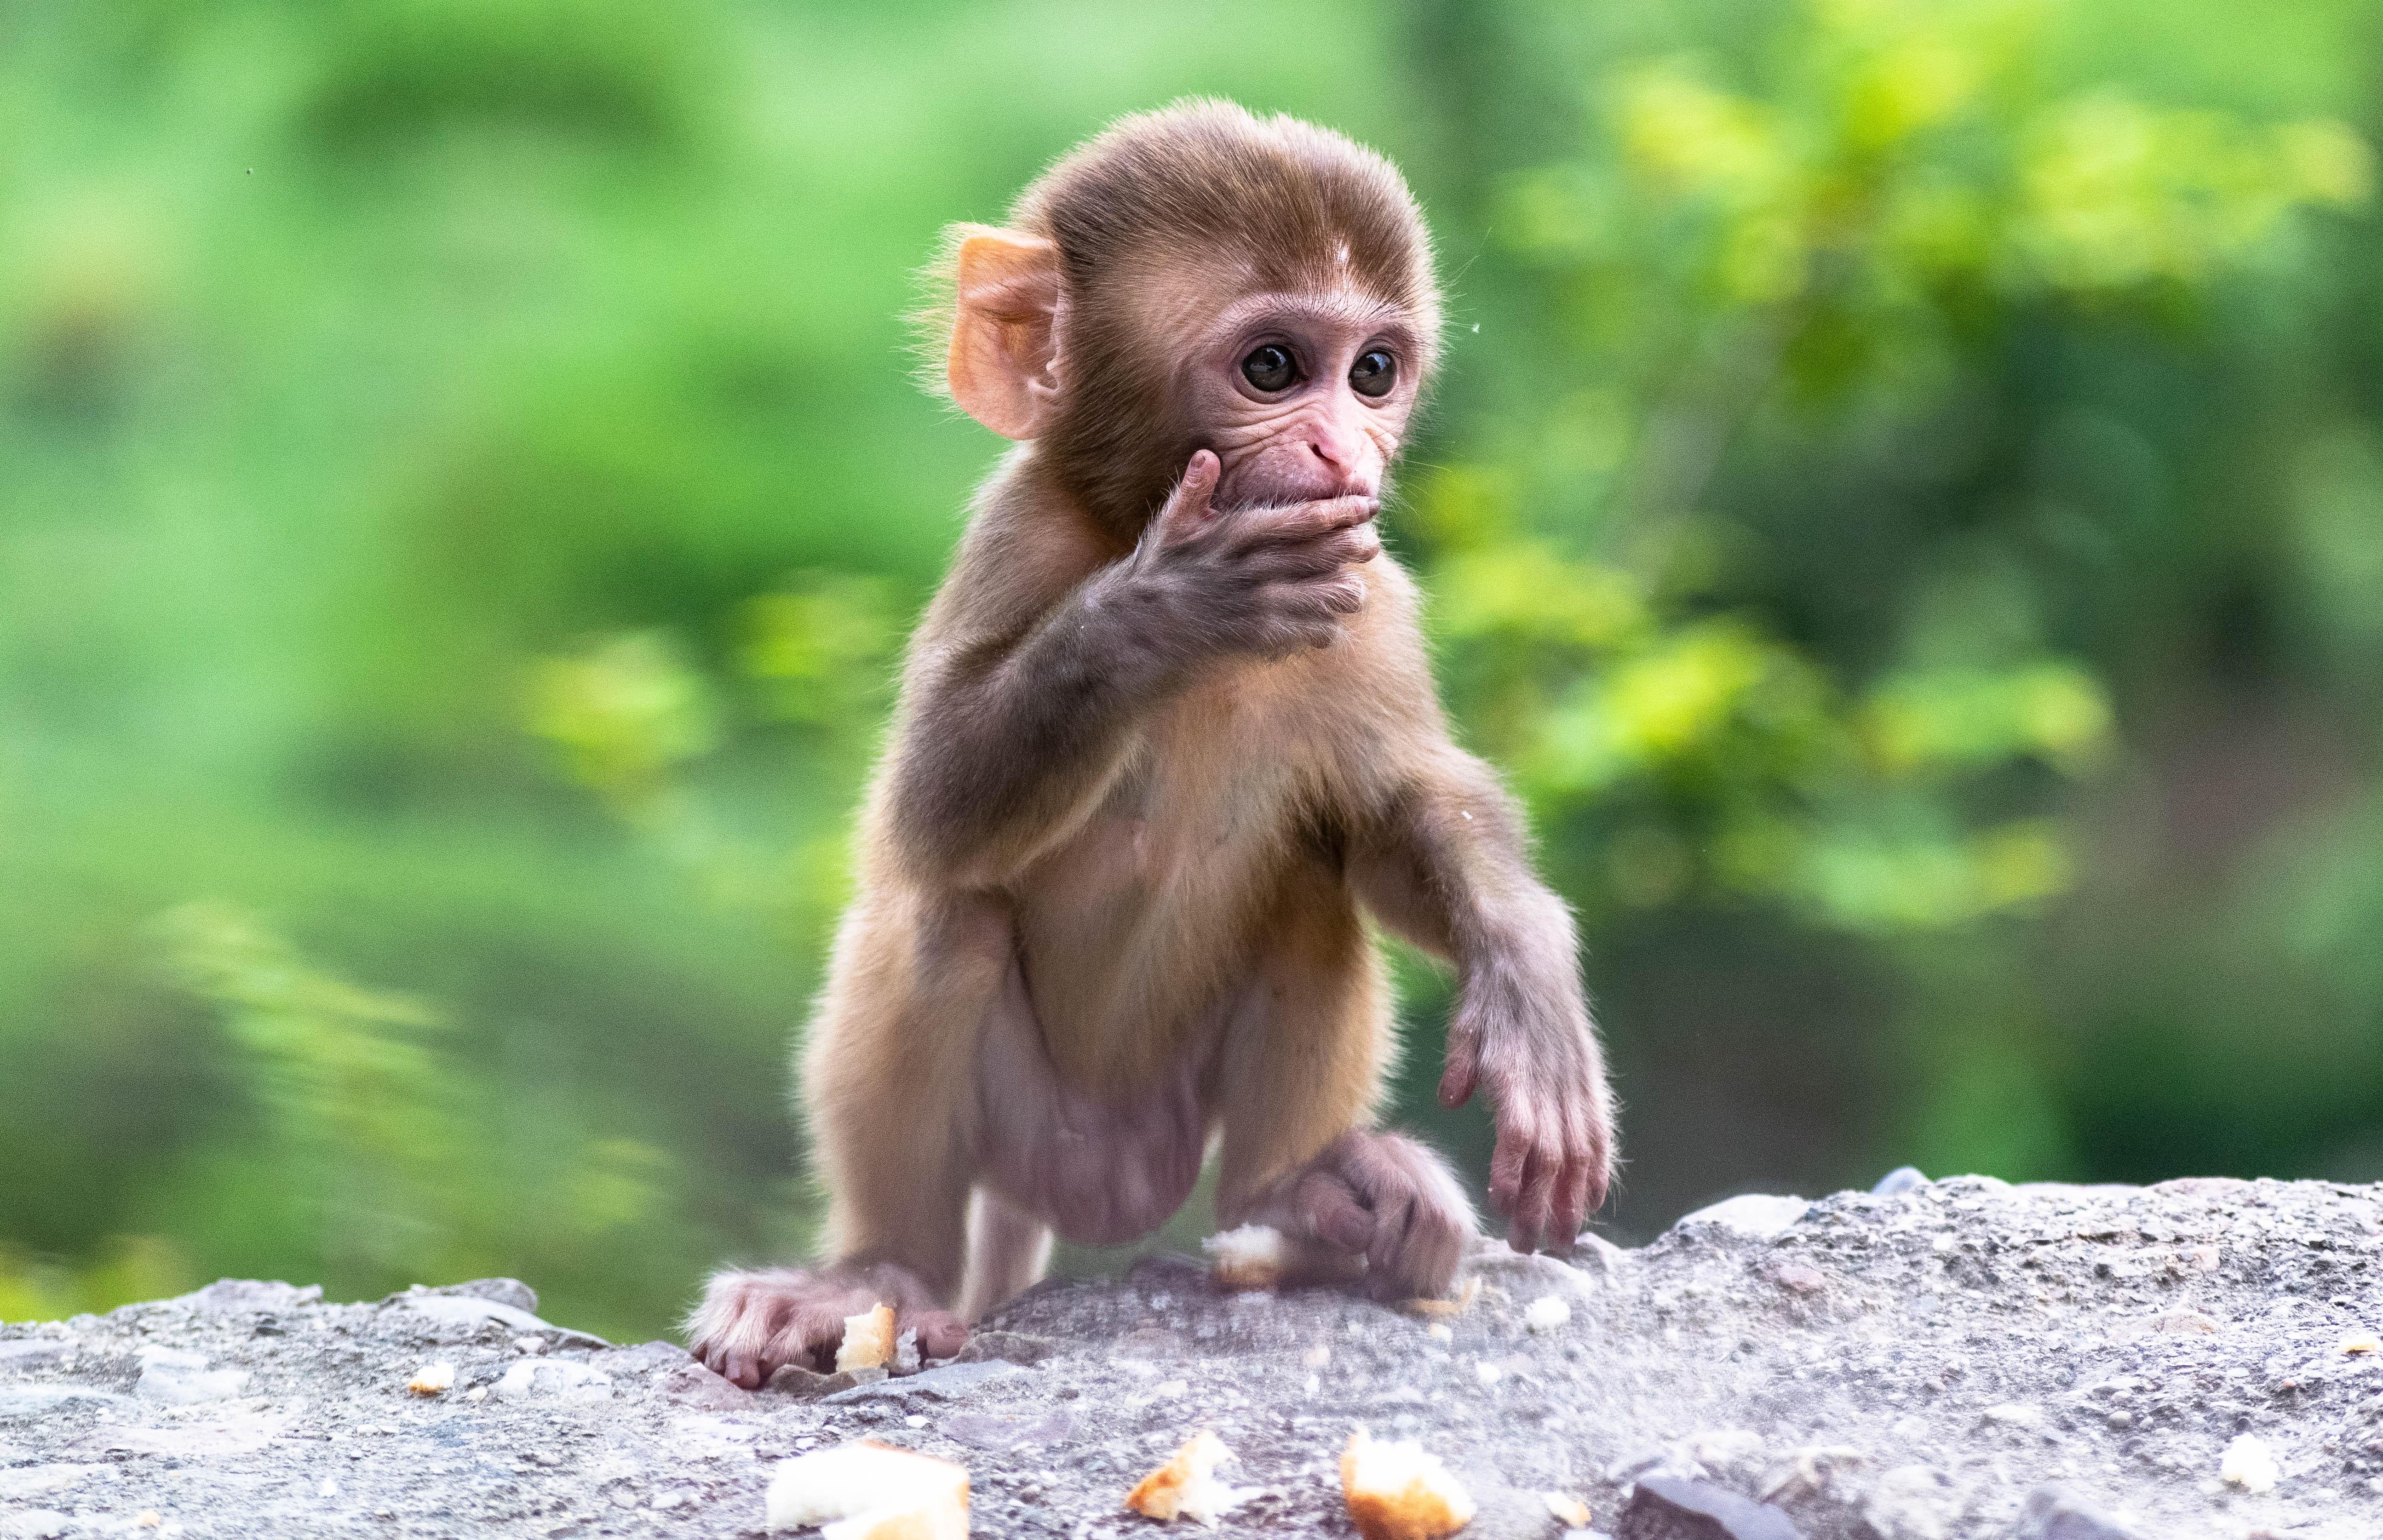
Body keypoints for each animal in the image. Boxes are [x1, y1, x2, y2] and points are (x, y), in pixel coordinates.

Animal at [689, 100, 1613, 1388]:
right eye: (1273, 368)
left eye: (1373, 373)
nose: (1346, 453)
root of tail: (1106, 1192)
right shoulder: (1016, 536)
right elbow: (932, 818)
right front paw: (1171, 602)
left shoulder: (1374, 603)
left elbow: (1393, 816)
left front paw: (1526, 969)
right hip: (1034, 1137)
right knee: (942, 914)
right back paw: (876, 1274)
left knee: (1308, 890)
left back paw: (1310, 1204)